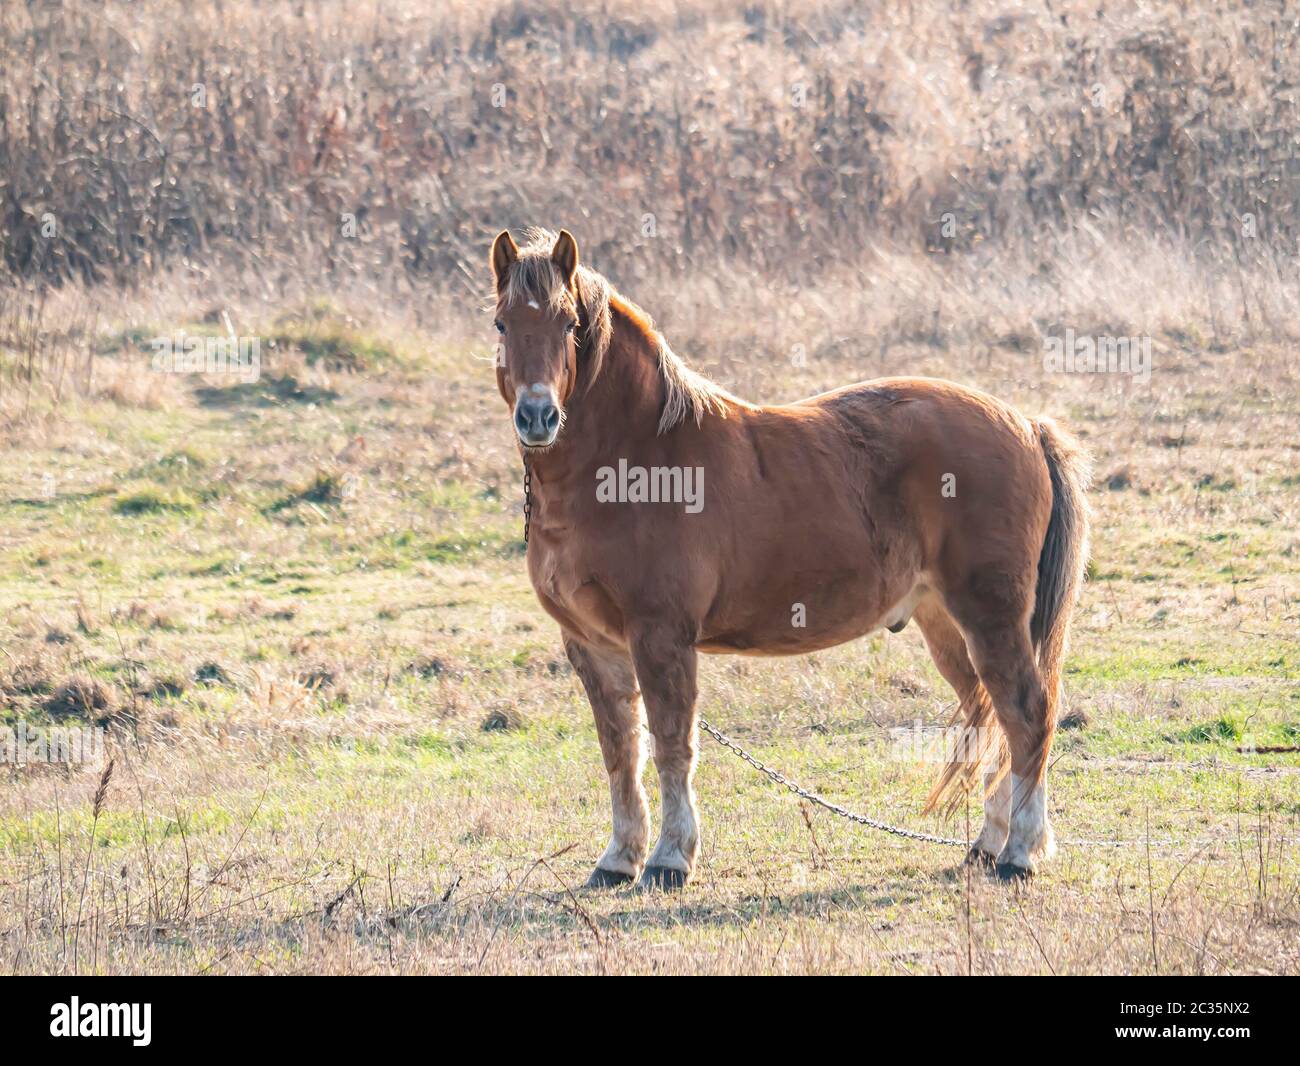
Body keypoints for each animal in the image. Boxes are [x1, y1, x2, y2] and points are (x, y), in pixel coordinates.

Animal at [490, 227, 1091, 888]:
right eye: (501, 323)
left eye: (569, 323)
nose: (538, 416)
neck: (637, 460)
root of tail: (1027, 425)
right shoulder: (594, 646)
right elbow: (621, 750)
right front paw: (620, 859)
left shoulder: (661, 635)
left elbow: (672, 745)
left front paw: (670, 859)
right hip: (947, 624)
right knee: (993, 719)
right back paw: (987, 845)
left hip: (992, 617)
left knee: (1027, 714)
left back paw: (1019, 854)